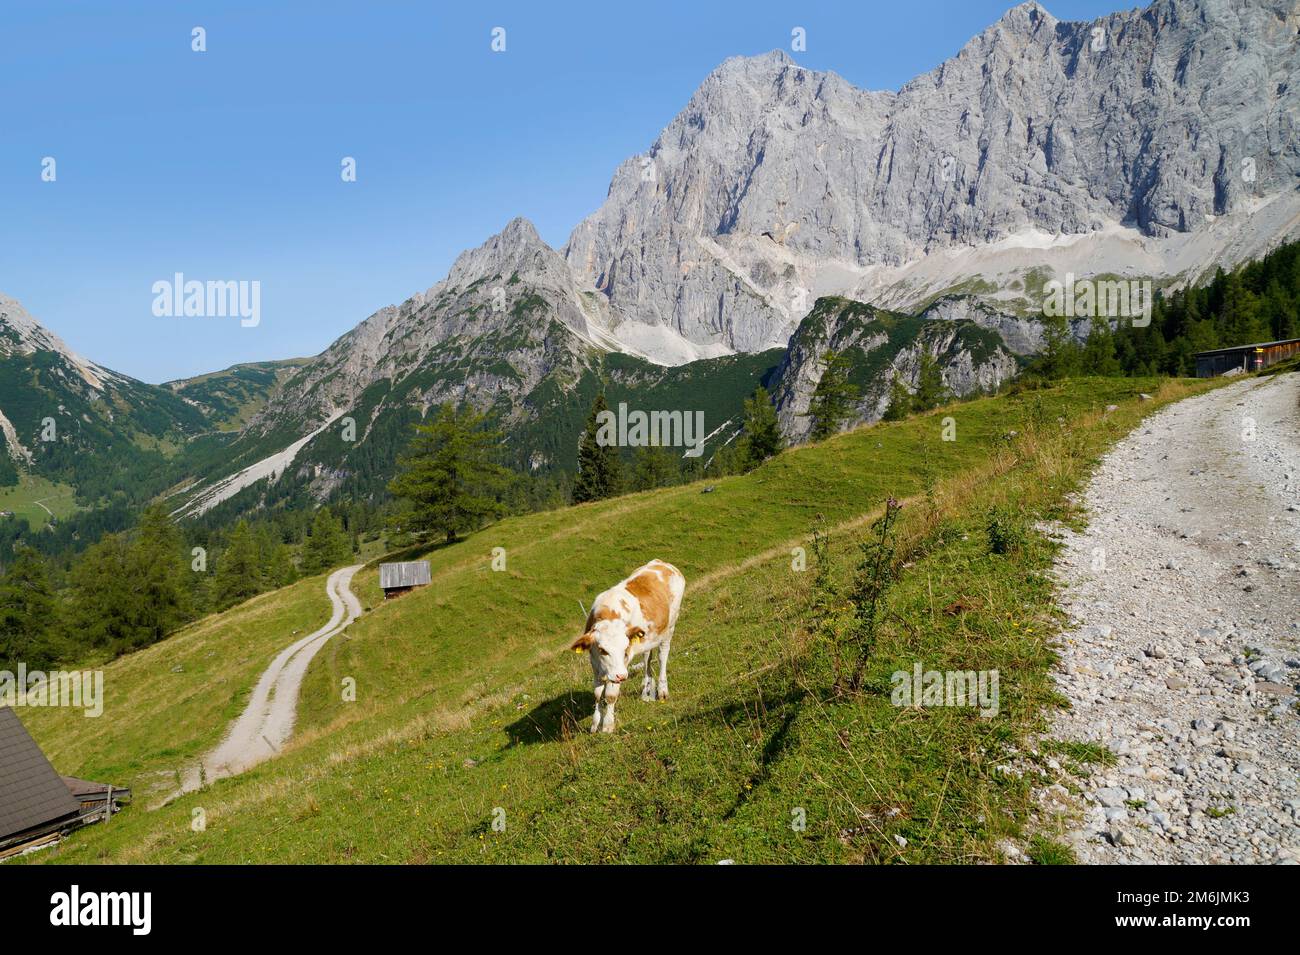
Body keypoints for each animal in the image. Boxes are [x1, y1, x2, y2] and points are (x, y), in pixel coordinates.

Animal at [571, 559, 685, 733]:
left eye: (624, 649)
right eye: (602, 650)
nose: (622, 676)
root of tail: (663, 563)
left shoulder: (621, 665)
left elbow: (610, 695)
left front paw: (607, 726)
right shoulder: (594, 662)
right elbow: (597, 693)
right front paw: (595, 724)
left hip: (669, 626)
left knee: (662, 655)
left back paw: (662, 690)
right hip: (647, 637)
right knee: (647, 657)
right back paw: (646, 687)